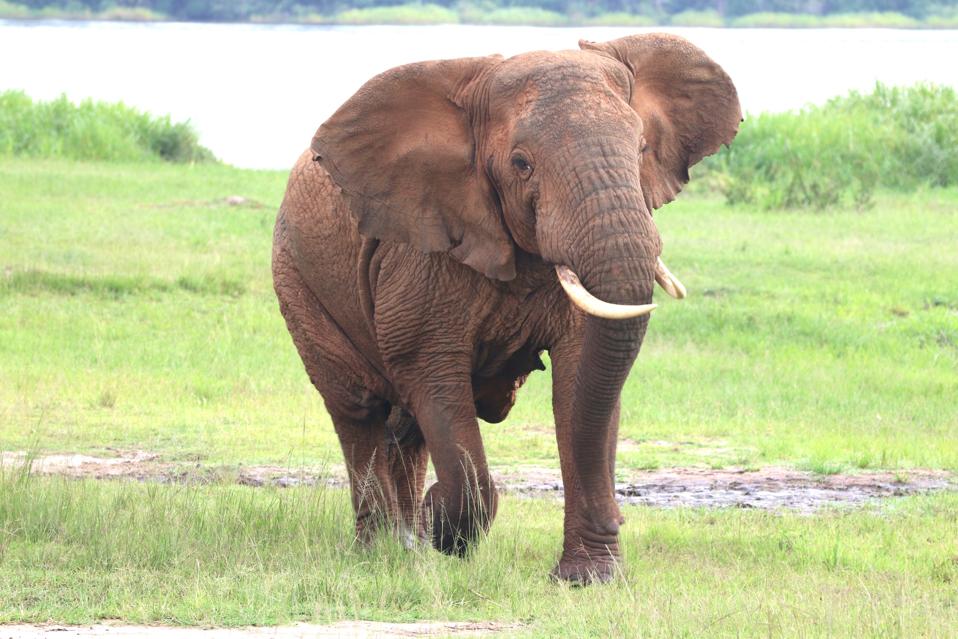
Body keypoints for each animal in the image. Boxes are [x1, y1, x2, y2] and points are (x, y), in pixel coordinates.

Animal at [272, 33, 741, 584]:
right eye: (521, 164)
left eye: (642, 148)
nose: (617, 520)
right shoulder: (421, 251)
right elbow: (431, 373)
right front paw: (447, 528)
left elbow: (581, 380)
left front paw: (590, 580)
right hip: (297, 278)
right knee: (357, 409)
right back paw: (384, 549)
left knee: (406, 427)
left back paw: (409, 547)